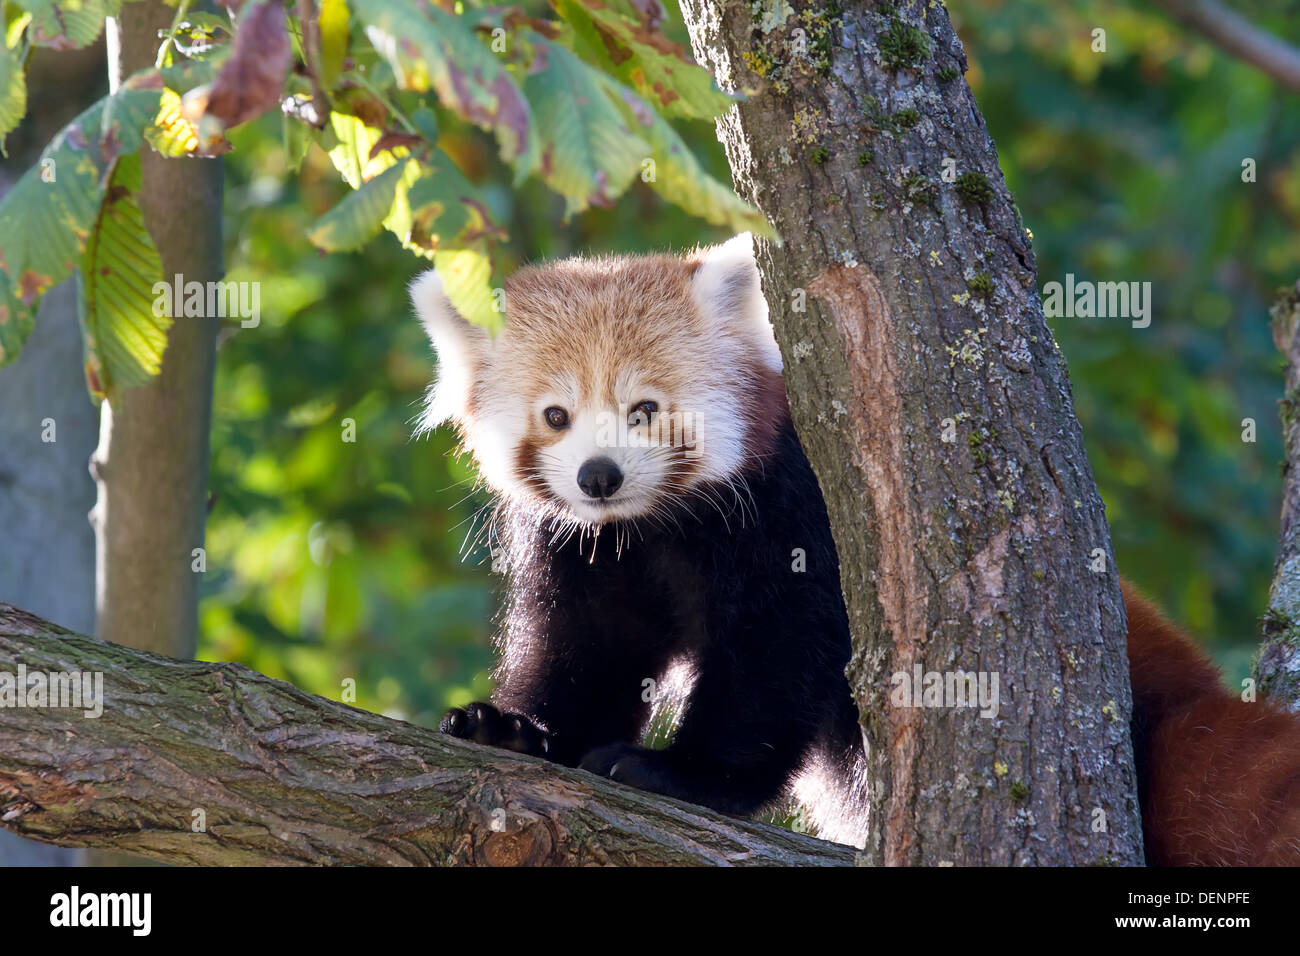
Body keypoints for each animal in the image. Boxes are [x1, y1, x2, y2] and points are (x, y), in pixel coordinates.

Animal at [411, 235, 1300, 864]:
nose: (600, 476)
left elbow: (776, 660)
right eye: (556, 415)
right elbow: (592, 648)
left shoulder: (801, 514)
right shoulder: (587, 550)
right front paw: (514, 730)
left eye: (644, 409)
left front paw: (688, 774)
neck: (659, 525)